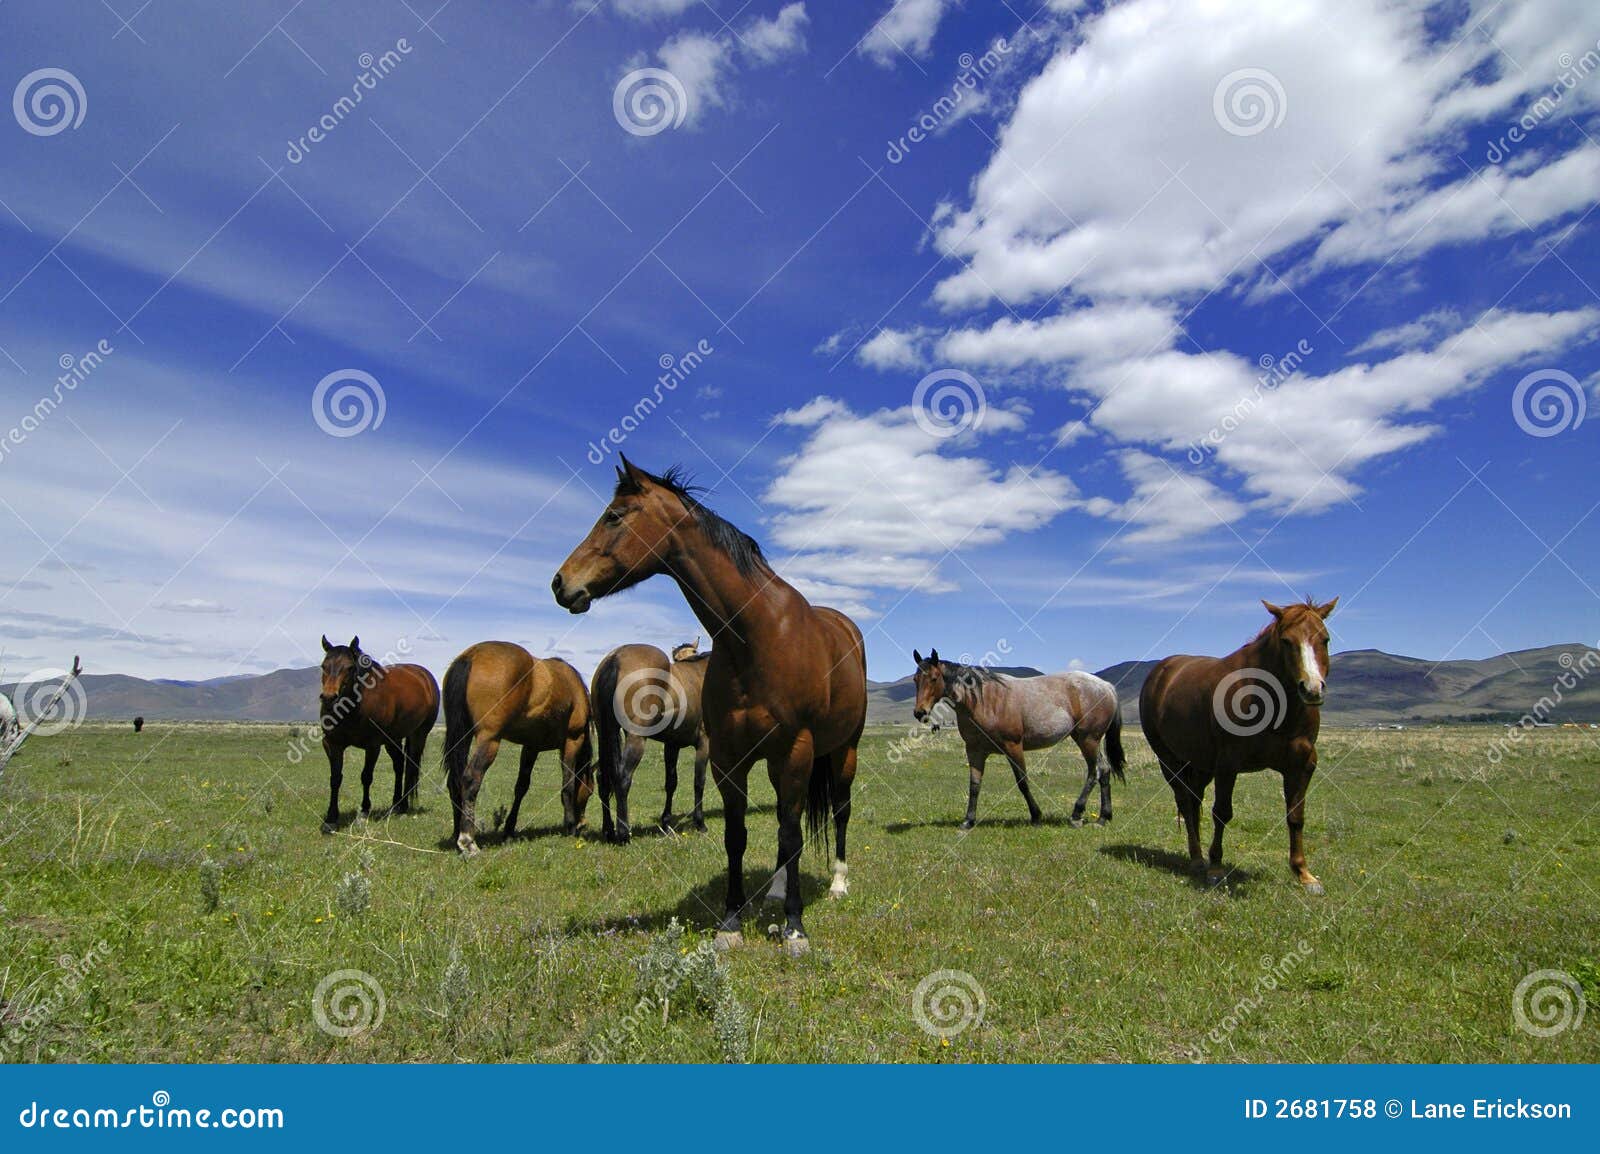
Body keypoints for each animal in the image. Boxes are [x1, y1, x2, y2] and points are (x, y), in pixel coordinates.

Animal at [318, 636, 440, 833]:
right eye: (324, 666)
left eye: (349, 667)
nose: (329, 698)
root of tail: (425, 676)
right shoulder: (332, 744)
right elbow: (335, 778)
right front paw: (331, 817)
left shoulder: (372, 746)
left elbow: (366, 777)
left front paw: (364, 811)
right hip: (393, 739)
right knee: (399, 764)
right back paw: (396, 805)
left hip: (418, 735)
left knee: (410, 766)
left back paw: (403, 805)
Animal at [441, 641, 595, 855]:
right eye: (590, 791)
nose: (582, 822)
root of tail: (471, 656)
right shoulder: (573, 740)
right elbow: (568, 784)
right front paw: (570, 825)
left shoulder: (531, 747)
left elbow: (521, 787)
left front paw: (509, 828)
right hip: (489, 740)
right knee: (471, 778)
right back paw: (468, 840)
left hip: (463, 735)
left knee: (454, 781)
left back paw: (457, 832)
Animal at [590, 638, 710, 842]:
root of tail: (616, 658)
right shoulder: (704, 744)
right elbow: (699, 782)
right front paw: (700, 823)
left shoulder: (672, 746)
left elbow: (671, 783)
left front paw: (666, 823)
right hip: (636, 738)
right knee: (622, 777)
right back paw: (623, 833)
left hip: (604, 734)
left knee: (602, 779)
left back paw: (609, 830)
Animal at [910, 650, 1126, 829]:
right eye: (915, 679)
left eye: (934, 678)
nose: (920, 712)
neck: (984, 702)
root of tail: (1106, 686)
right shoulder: (974, 751)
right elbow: (974, 785)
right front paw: (968, 820)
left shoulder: (1013, 747)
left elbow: (1022, 782)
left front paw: (1036, 816)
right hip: (1089, 740)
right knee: (1104, 770)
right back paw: (1103, 817)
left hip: (1087, 740)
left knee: (1094, 772)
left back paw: (1076, 814)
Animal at [1139, 597, 1338, 893]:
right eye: (1287, 641)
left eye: (1324, 639)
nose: (1312, 689)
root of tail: (1162, 671)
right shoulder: (1227, 764)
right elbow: (1222, 812)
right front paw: (1216, 868)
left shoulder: (1302, 765)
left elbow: (1296, 816)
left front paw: (1304, 873)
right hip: (1169, 760)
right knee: (1185, 802)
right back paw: (1197, 859)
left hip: (1200, 764)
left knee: (1194, 801)